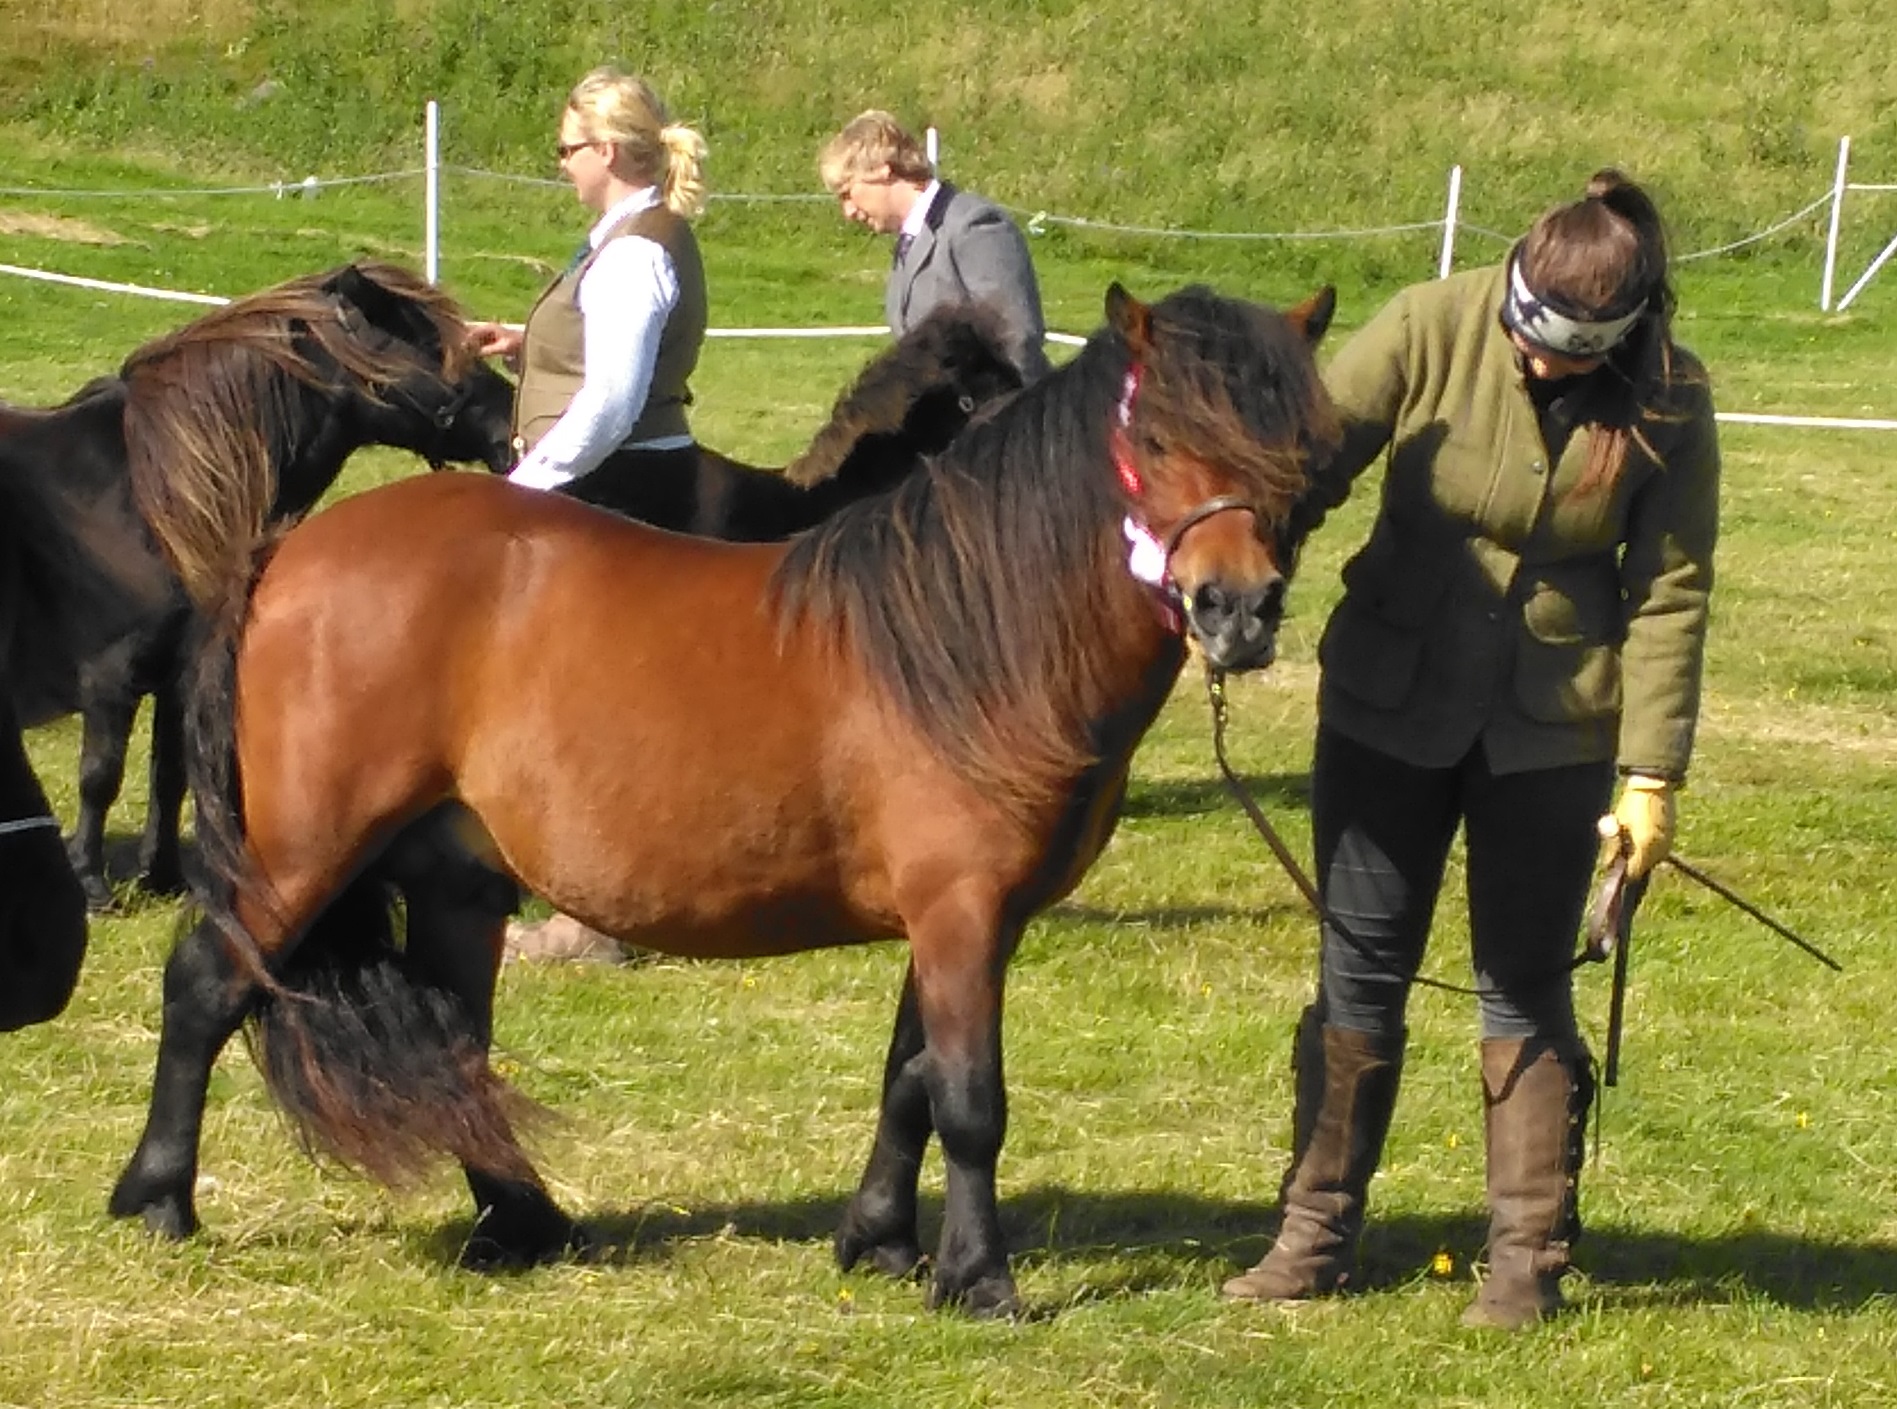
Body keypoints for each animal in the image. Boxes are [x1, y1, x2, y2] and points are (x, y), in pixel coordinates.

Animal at [0, 260, 515, 910]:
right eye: (425, 342)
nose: (506, 420)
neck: (151, 499)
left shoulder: (182, 670)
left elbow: (169, 774)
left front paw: (163, 878)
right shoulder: (110, 677)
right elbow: (101, 775)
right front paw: (92, 885)